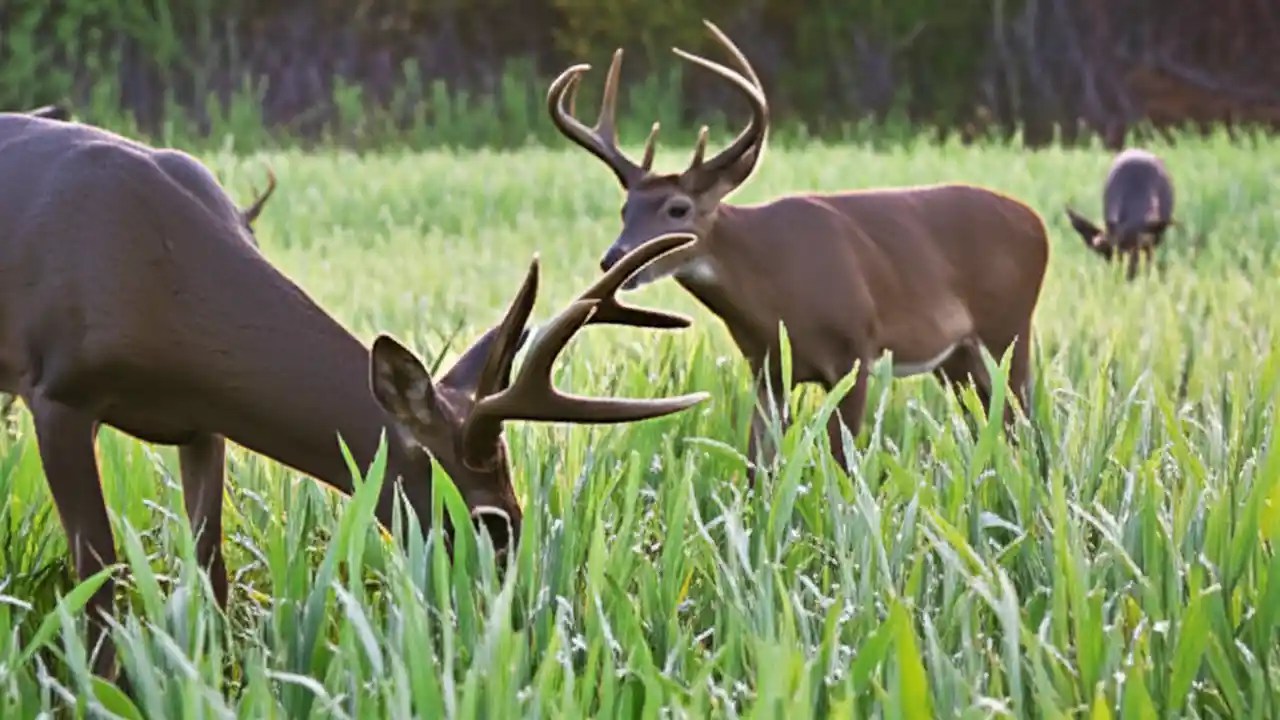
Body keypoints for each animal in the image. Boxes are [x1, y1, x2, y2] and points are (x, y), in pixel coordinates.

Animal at [0, 110, 707, 680]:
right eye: (492, 521)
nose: (520, 623)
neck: (159, 281)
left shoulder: (202, 424)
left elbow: (210, 565)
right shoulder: (59, 393)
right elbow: (97, 574)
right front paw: (101, 687)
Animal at [547, 20, 1050, 483]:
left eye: (678, 209)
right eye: (626, 209)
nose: (614, 258)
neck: (775, 292)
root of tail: (1038, 223)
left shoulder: (856, 350)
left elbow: (844, 464)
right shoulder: (765, 367)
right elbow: (758, 467)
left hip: (1008, 325)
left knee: (1022, 422)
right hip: (955, 356)